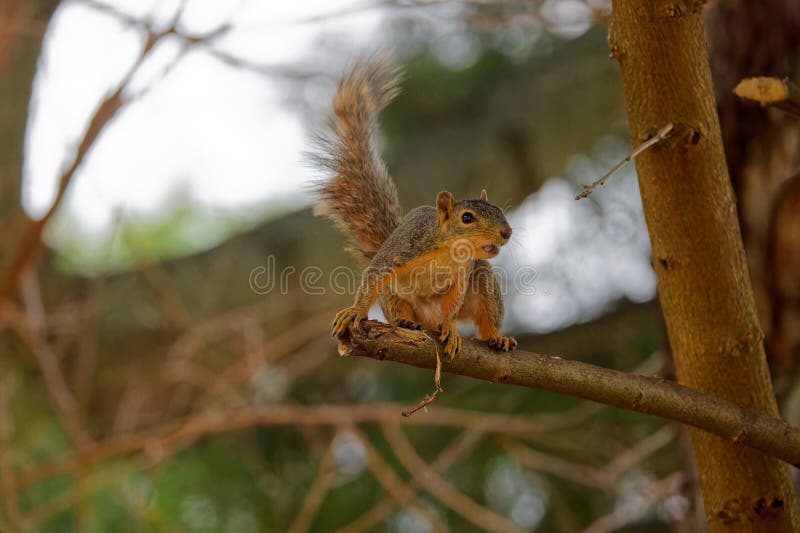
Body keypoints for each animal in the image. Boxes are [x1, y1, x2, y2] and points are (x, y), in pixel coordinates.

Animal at [311, 55, 517, 358]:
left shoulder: (462, 275)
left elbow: (452, 306)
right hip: (394, 296)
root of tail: (426, 320)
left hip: (483, 282)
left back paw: (496, 338)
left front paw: (450, 328)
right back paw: (405, 322)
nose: (506, 233)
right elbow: (374, 276)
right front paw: (355, 311)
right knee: (398, 307)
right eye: (467, 218)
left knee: (485, 315)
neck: (446, 252)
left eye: (500, 212)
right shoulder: (401, 250)